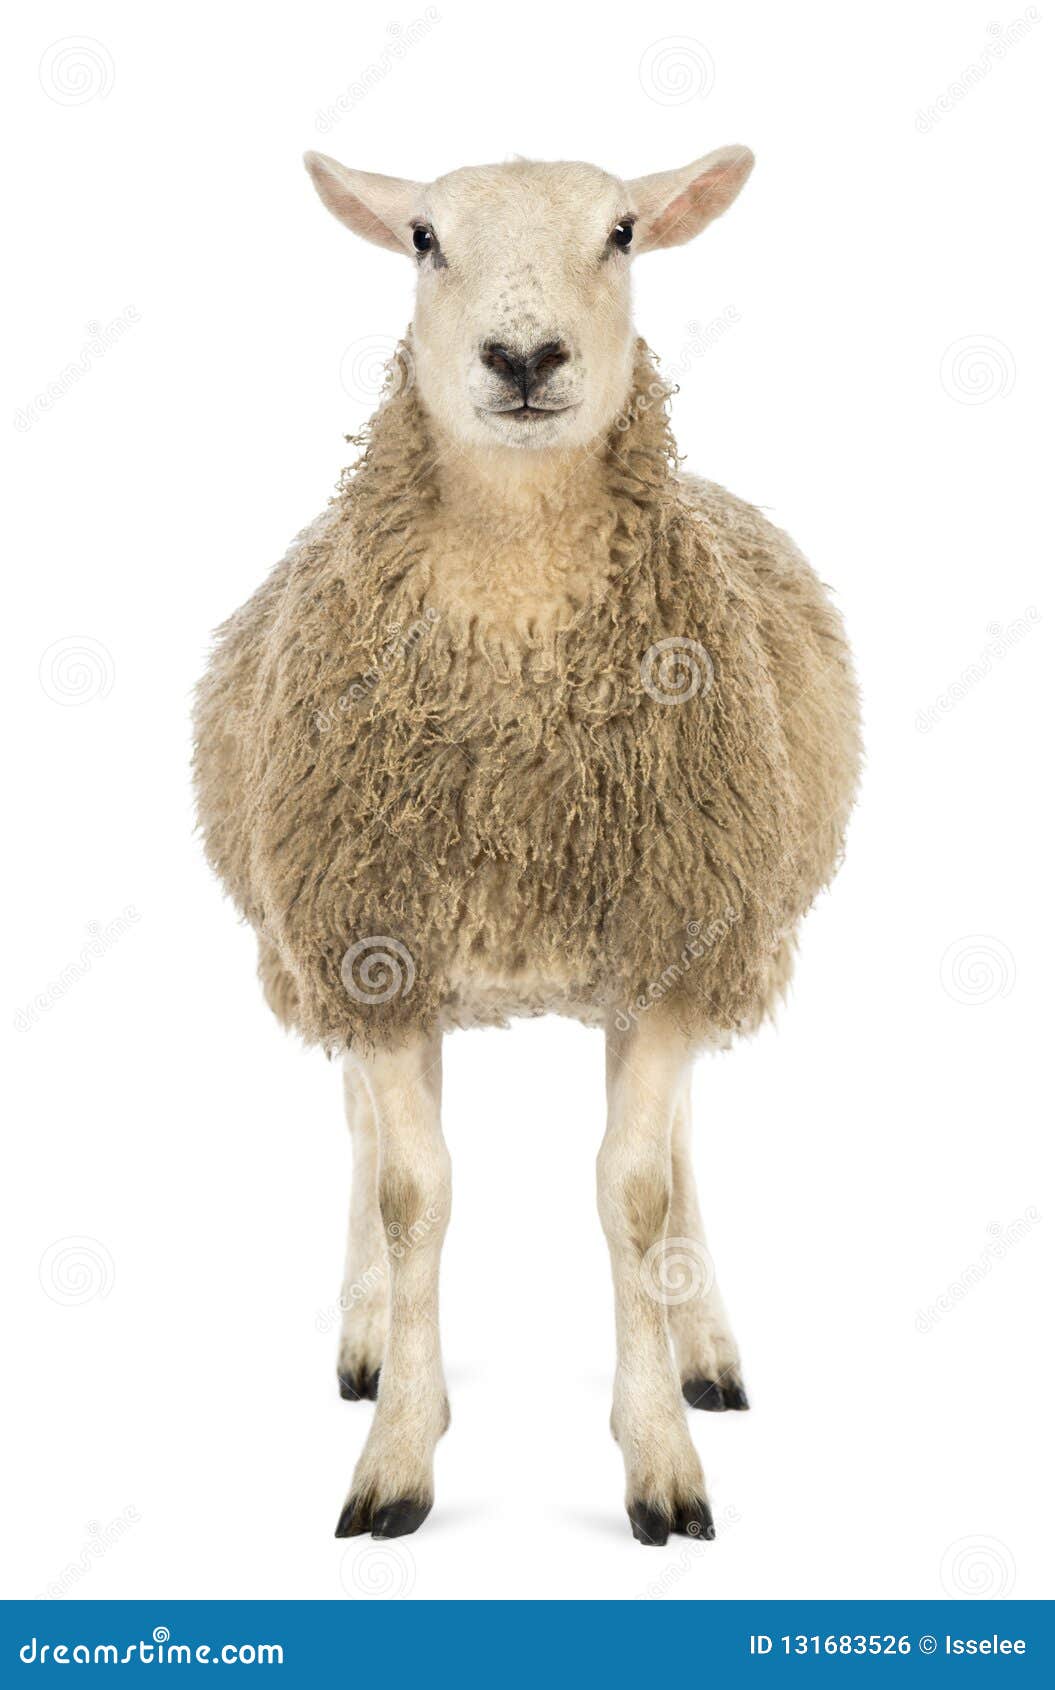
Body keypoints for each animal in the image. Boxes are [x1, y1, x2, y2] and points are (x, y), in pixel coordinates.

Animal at [193, 145, 860, 1546]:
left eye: (620, 233)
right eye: (422, 238)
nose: (521, 355)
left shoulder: (670, 947)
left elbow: (634, 1191)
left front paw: (658, 1454)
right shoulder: (375, 950)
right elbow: (411, 1194)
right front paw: (398, 1454)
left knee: (674, 1147)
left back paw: (702, 1345)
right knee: (365, 1139)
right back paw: (369, 1336)